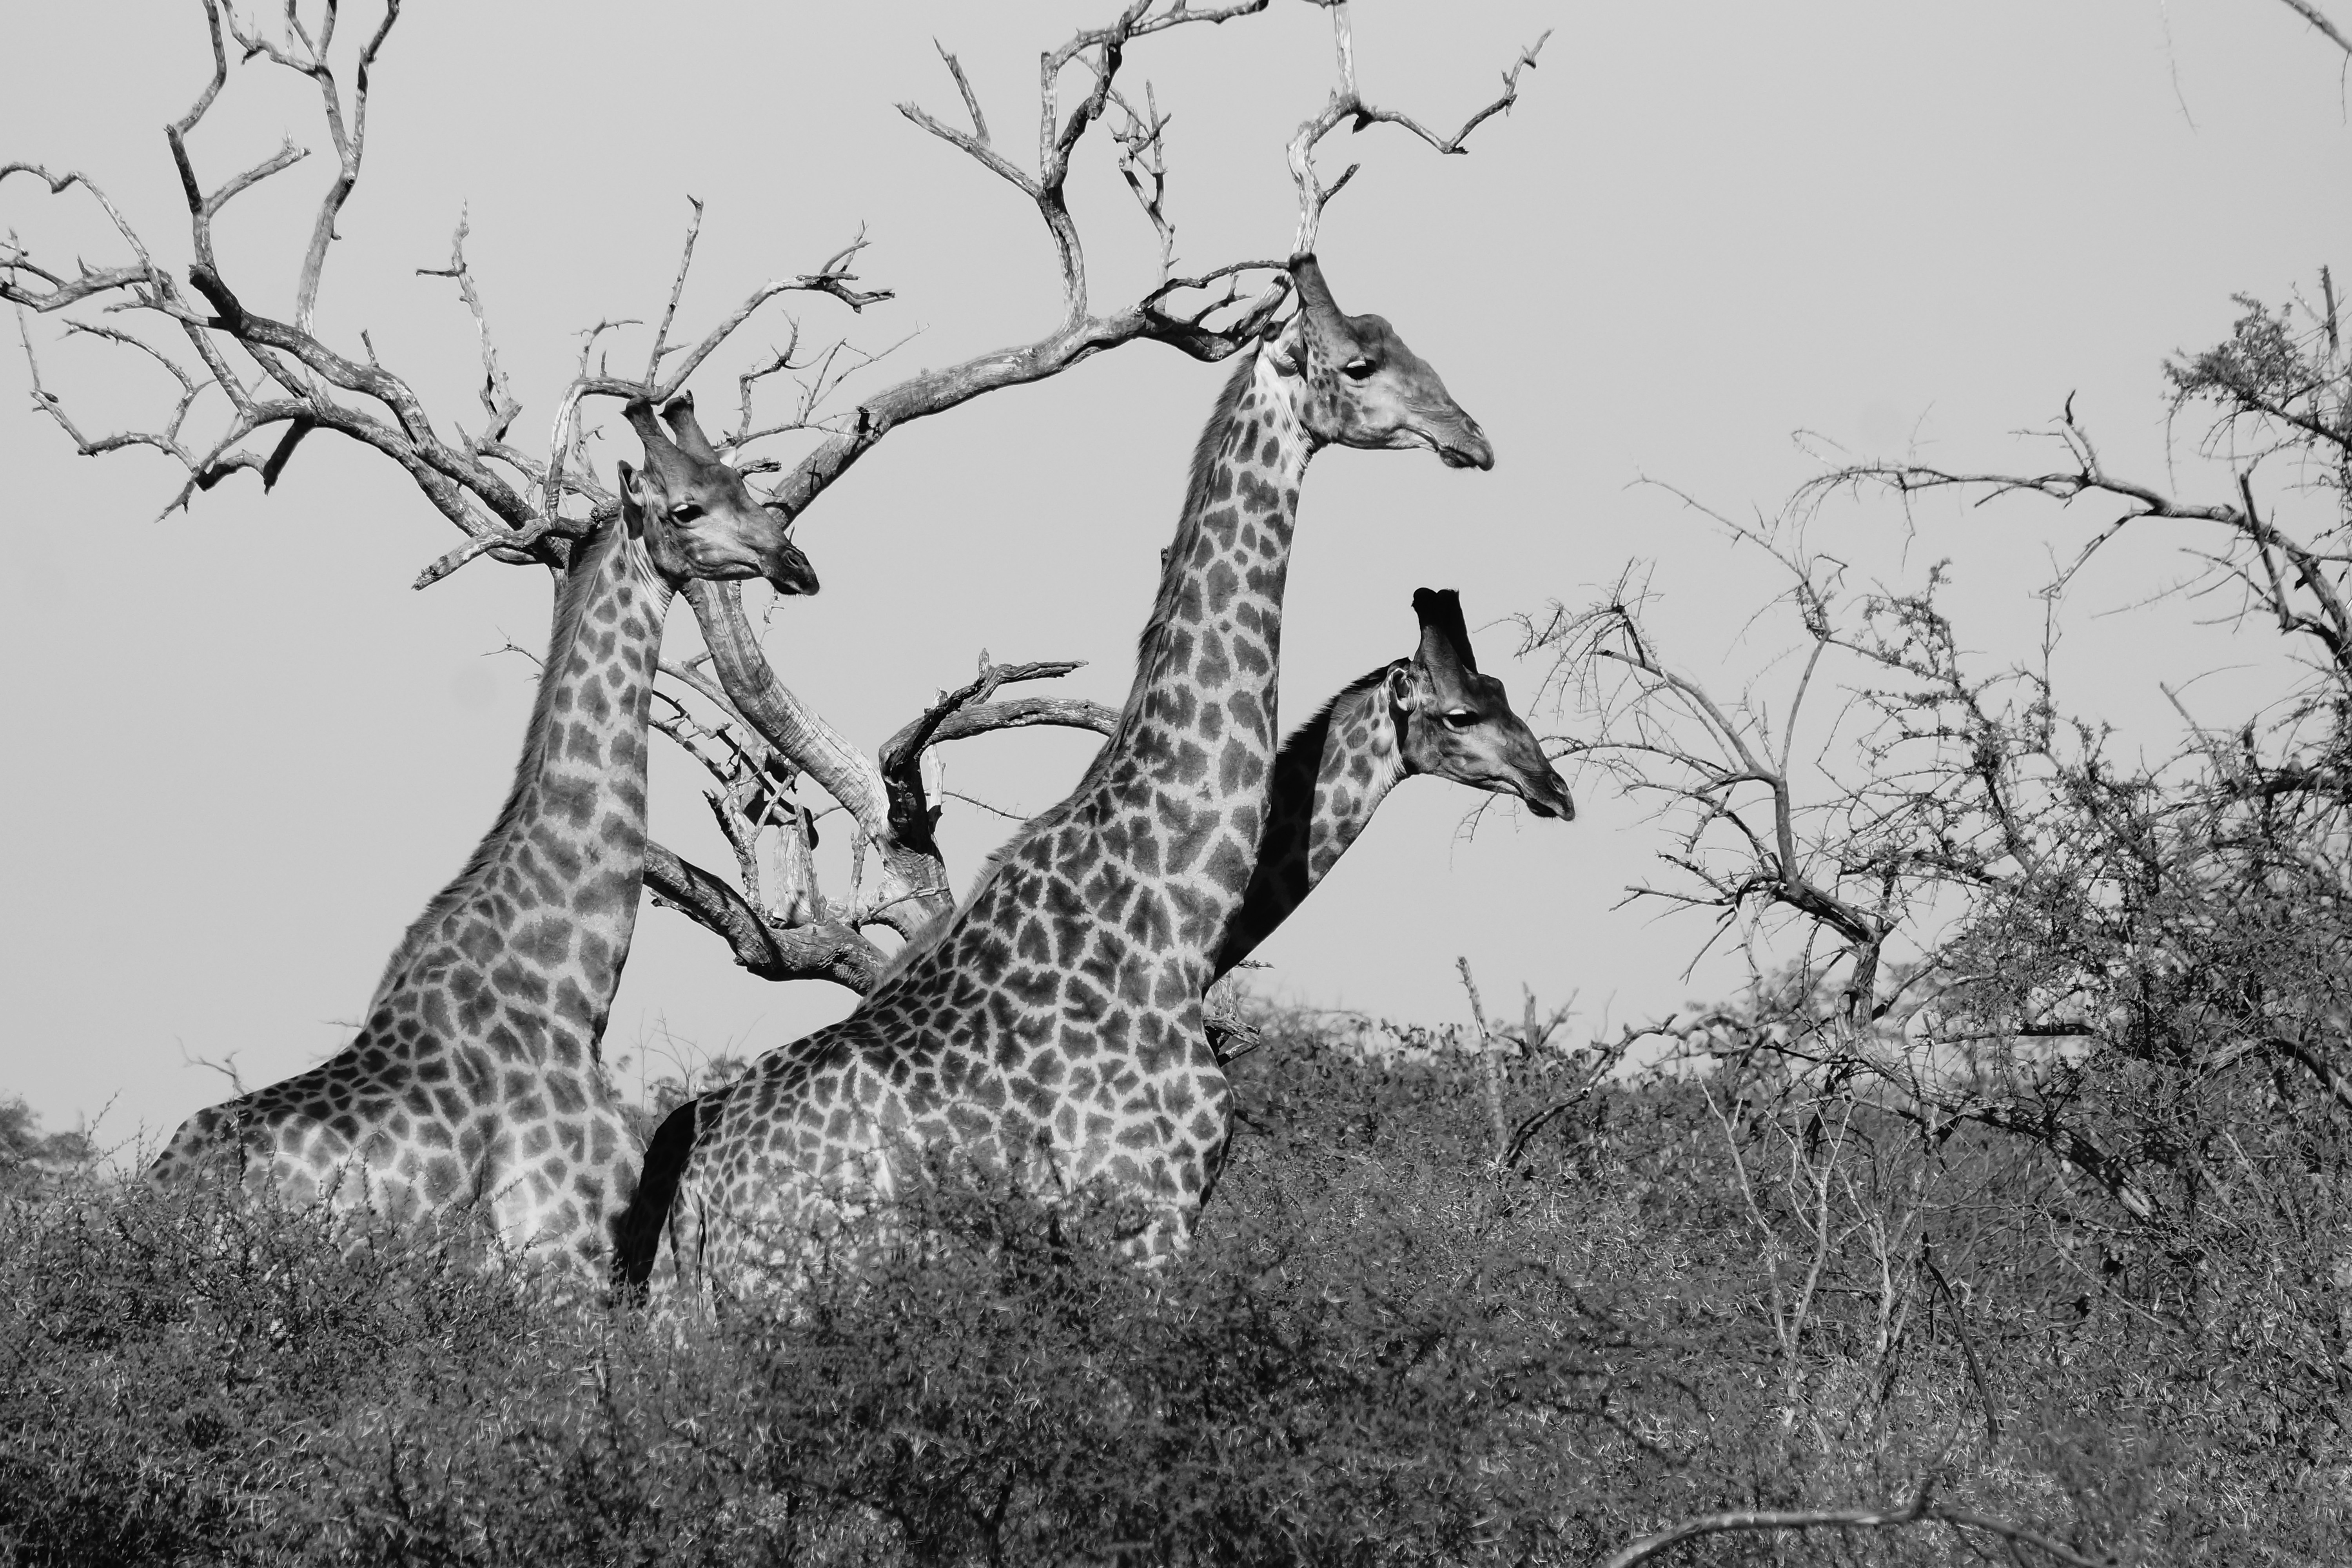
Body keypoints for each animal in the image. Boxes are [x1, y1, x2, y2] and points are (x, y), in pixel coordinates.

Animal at [150, 395, 817, 1275]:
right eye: (685, 509)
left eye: (745, 487)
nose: (796, 564)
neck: (567, 992)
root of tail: (151, 1194)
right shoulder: (563, 1249)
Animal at [619, 254, 1491, 1293]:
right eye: (1360, 363)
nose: (1472, 436)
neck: (1168, 907)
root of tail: (696, 1203)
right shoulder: (1147, 1211)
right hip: (798, 1288)